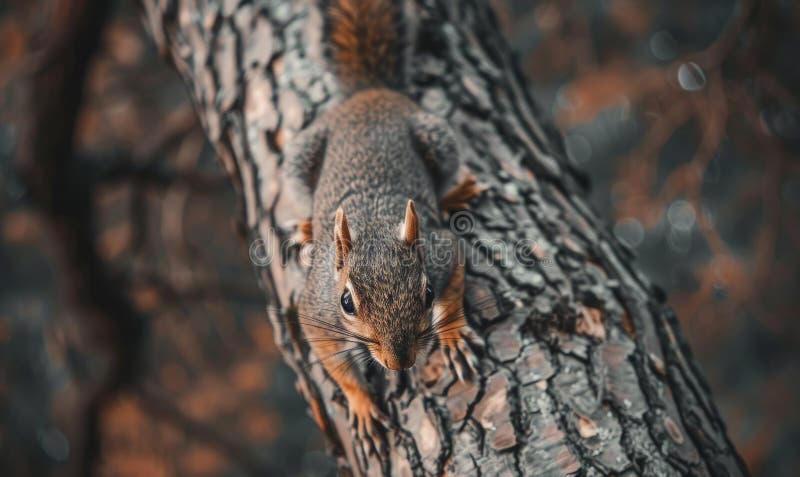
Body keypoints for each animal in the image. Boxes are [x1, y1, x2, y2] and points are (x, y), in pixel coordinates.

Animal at [280, 0, 482, 454]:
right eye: (346, 302)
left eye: (427, 292)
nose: (399, 362)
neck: (372, 224)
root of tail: (369, 92)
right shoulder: (316, 312)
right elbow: (336, 366)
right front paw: (362, 407)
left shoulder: (442, 249)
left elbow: (454, 288)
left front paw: (454, 335)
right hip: (300, 159)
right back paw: (305, 225)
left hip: (437, 139)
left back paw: (454, 194)